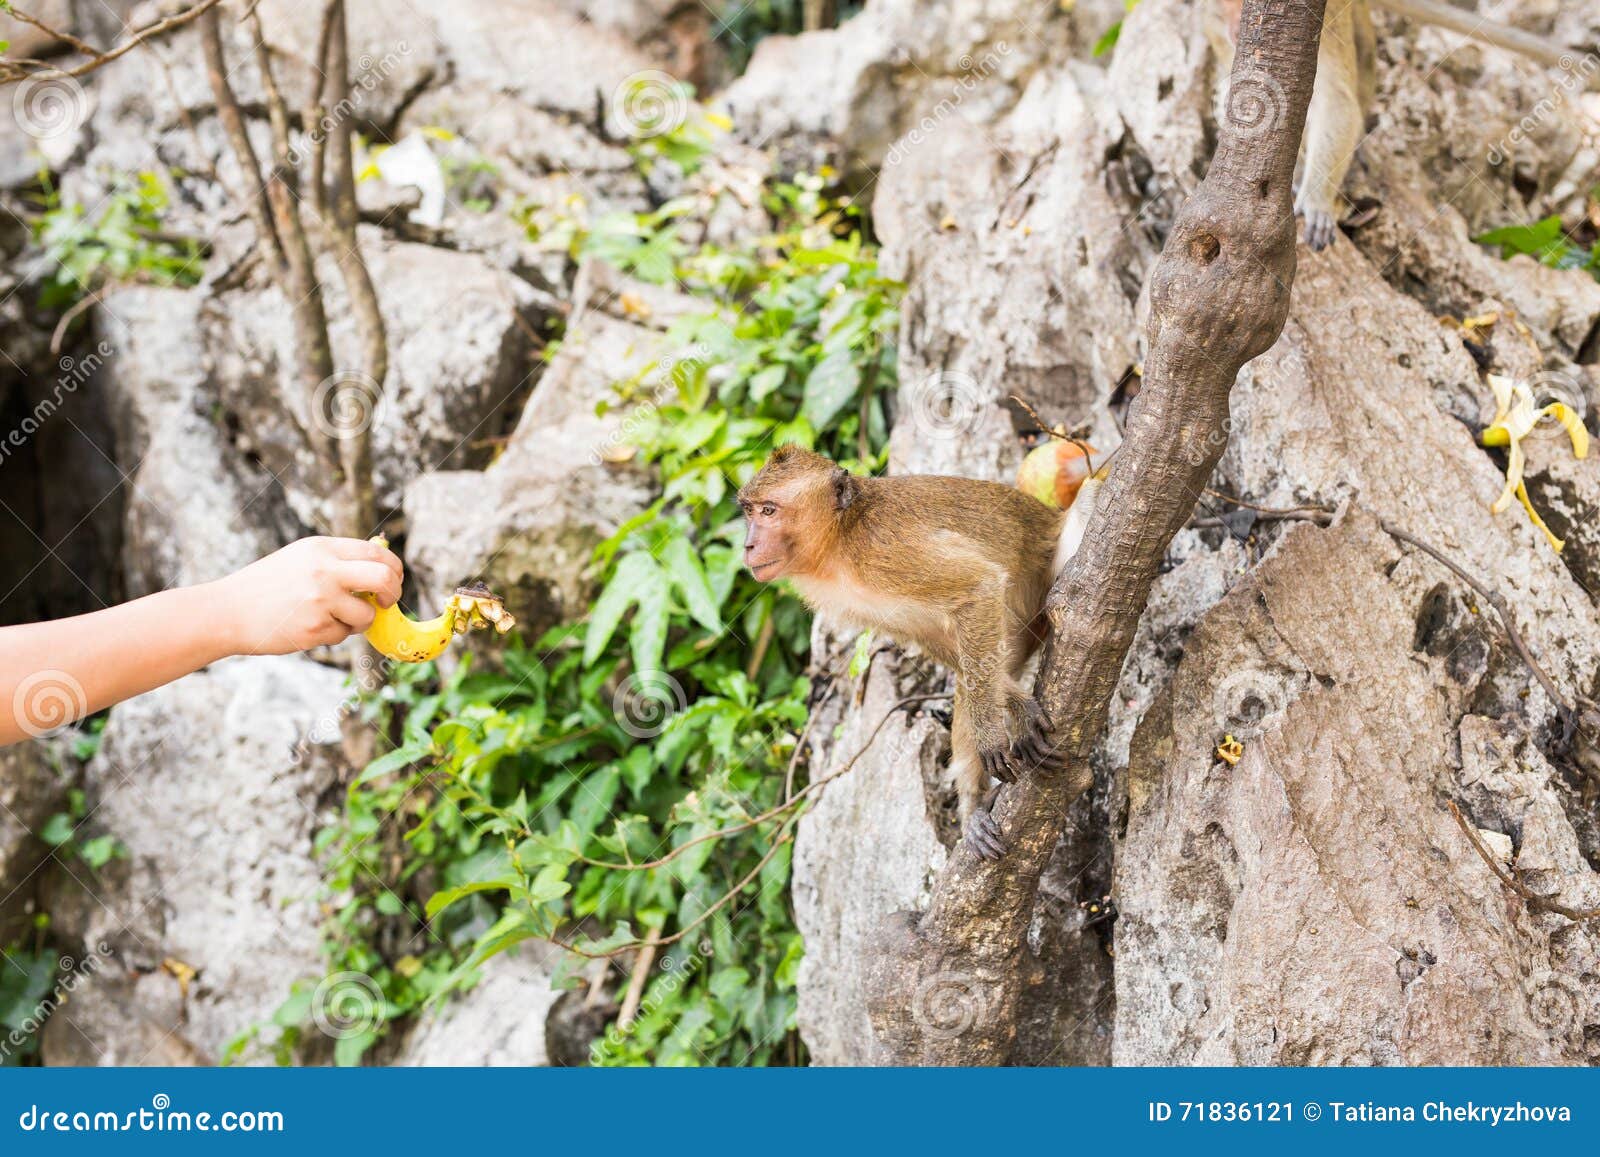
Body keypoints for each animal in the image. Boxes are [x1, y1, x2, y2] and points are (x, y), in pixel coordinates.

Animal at [738, 445, 1103, 861]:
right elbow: (943, 645)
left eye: (769, 511)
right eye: (749, 511)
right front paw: (1017, 709)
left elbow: (978, 587)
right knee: (973, 677)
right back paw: (974, 808)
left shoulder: (884, 552)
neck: (839, 541)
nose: (748, 545)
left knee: (1087, 500)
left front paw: (994, 736)